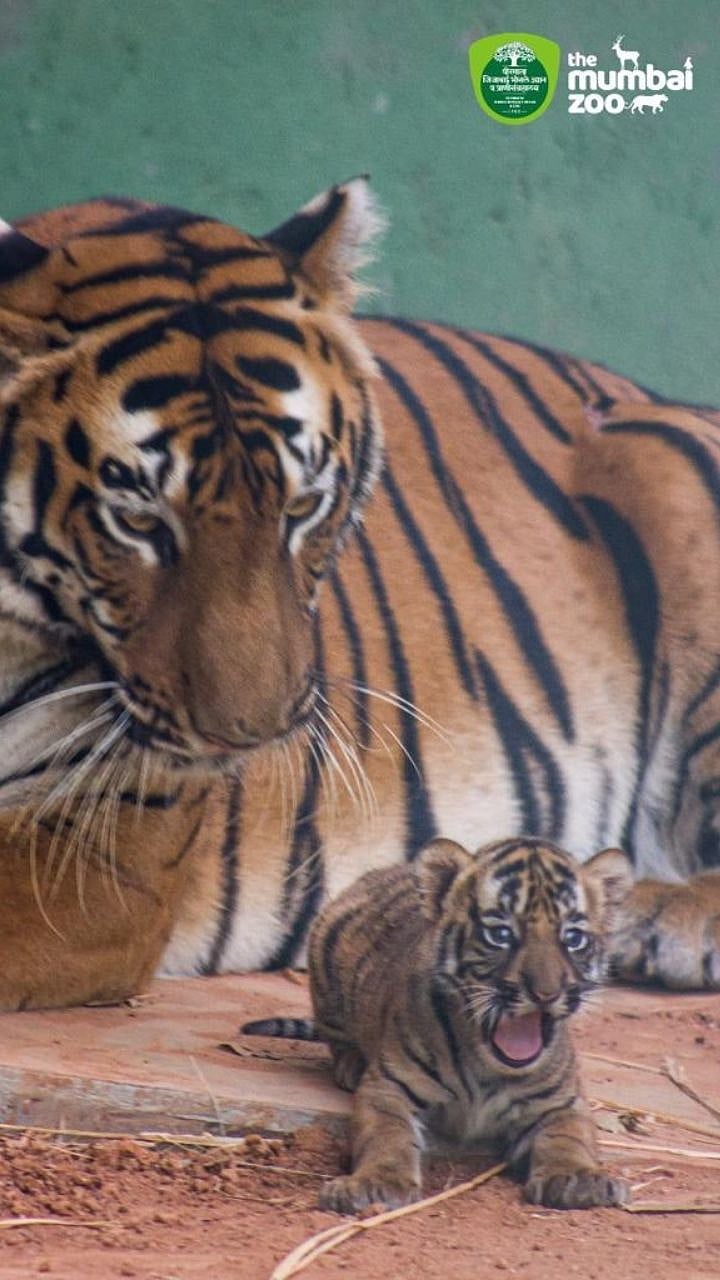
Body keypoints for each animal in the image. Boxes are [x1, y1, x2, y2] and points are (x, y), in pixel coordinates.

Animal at [243, 836, 633, 1212]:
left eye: (573, 938)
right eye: (501, 934)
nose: (545, 993)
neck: (489, 1068)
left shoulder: (560, 1102)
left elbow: (569, 1138)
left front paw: (577, 1179)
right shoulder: (389, 1087)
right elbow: (388, 1135)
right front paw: (376, 1184)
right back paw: (352, 1064)